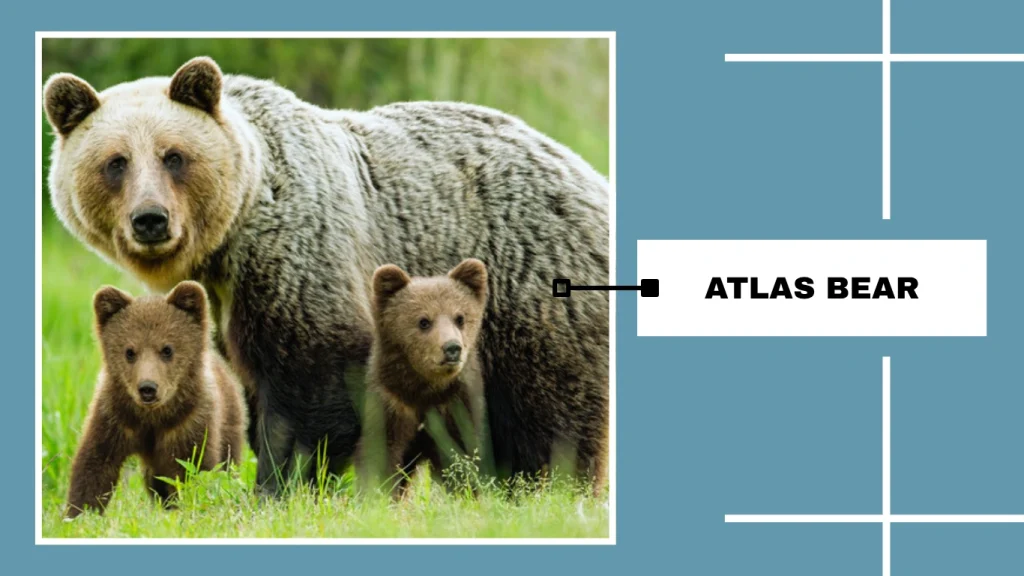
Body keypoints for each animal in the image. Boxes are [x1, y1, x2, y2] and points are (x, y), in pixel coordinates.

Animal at [64, 281, 246, 518]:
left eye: (167, 349)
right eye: (129, 351)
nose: (148, 388)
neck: (153, 417)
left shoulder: (189, 423)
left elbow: (193, 470)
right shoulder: (114, 417)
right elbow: (94, 465)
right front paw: (79, 513)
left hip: (229, 421)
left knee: (227, 464)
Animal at [356, 258, 490, 495]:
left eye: (460, 318)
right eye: (424, 321)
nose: (452, 348)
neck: (424, 391)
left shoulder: (455, 405)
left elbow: (461, 455)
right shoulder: (392, 403)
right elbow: (381, 454)